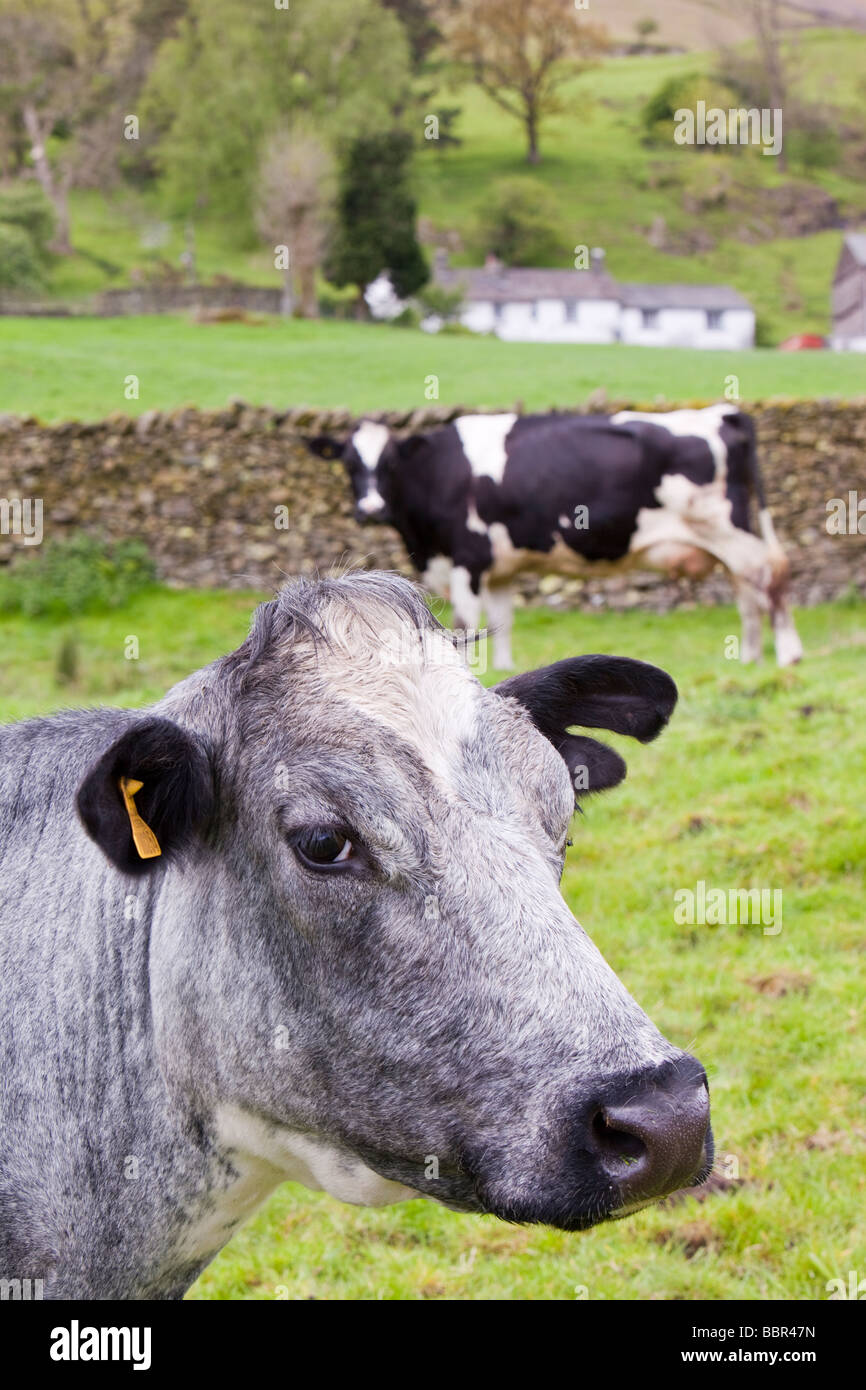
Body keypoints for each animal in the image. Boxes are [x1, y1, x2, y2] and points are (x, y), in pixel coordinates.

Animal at [308, 405, 802, 671]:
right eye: (349, 464)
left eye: (390, 464)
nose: (370, 509)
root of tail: (720, 412)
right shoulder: (500, 568)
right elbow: (502, 618)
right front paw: (501, 668)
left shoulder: (469, 557)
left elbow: (465, 624)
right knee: (747, 590)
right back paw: (750, 658)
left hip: (726, 528)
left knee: (770, 575)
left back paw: (788, 655)